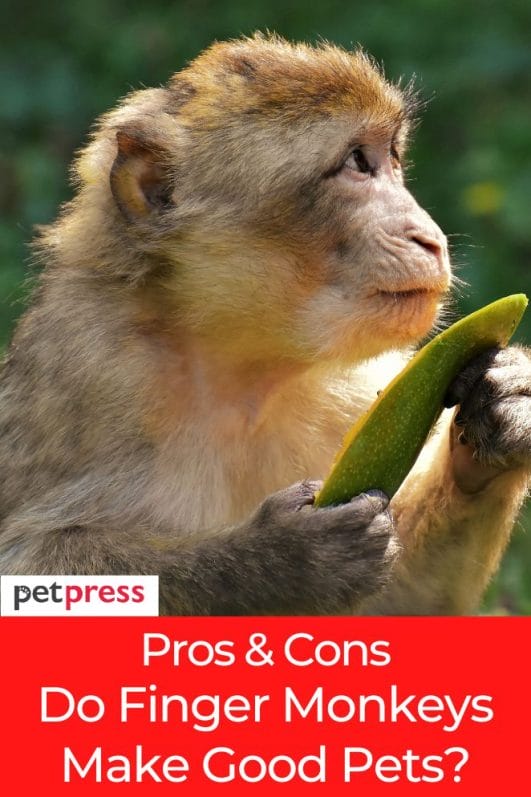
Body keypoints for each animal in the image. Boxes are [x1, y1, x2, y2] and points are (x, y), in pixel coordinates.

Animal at [0, 34, 530, 615]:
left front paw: (503, 405)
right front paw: (281, 559)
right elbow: (29, 558)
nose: (429, 238)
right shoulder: (90, 369)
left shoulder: (356, 385)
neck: (243, 368)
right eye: (356, 162)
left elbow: (401, 604)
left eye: (391, 158)